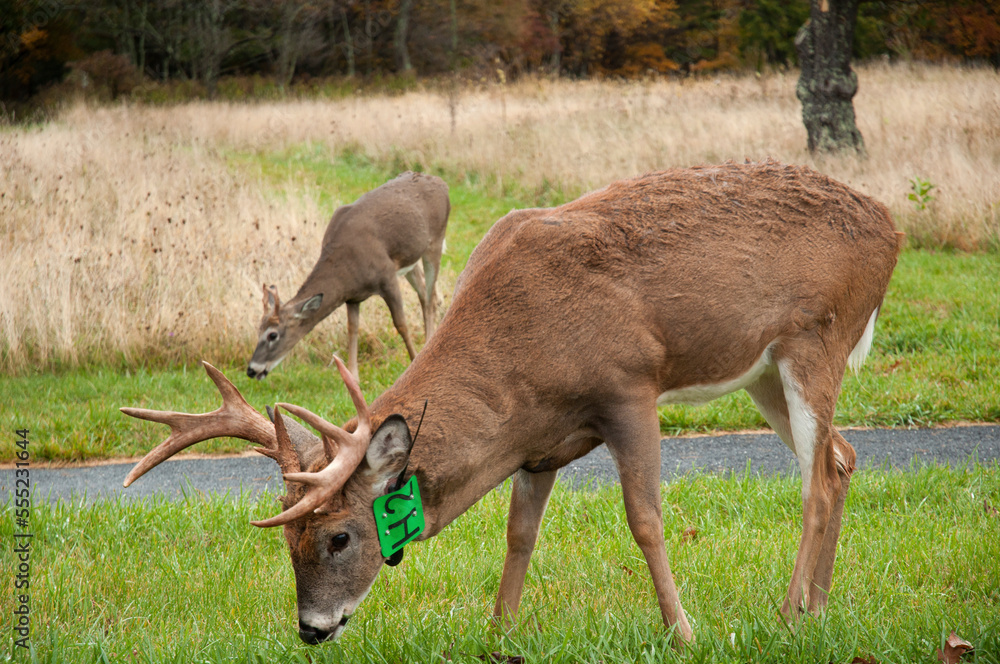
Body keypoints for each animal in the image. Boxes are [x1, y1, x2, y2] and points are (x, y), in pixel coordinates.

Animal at [247, 171, 450, 381]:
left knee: (430, 297)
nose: (251, 370)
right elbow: (352, 329)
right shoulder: (353, 296)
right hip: (411, 260)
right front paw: (353, 377)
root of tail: (440, 181)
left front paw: (413, 360)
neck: (346, 267)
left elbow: (400, 324)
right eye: (258, 329)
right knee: (424, 293)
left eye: (272, 335)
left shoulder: (387, 277)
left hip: (435, 241)